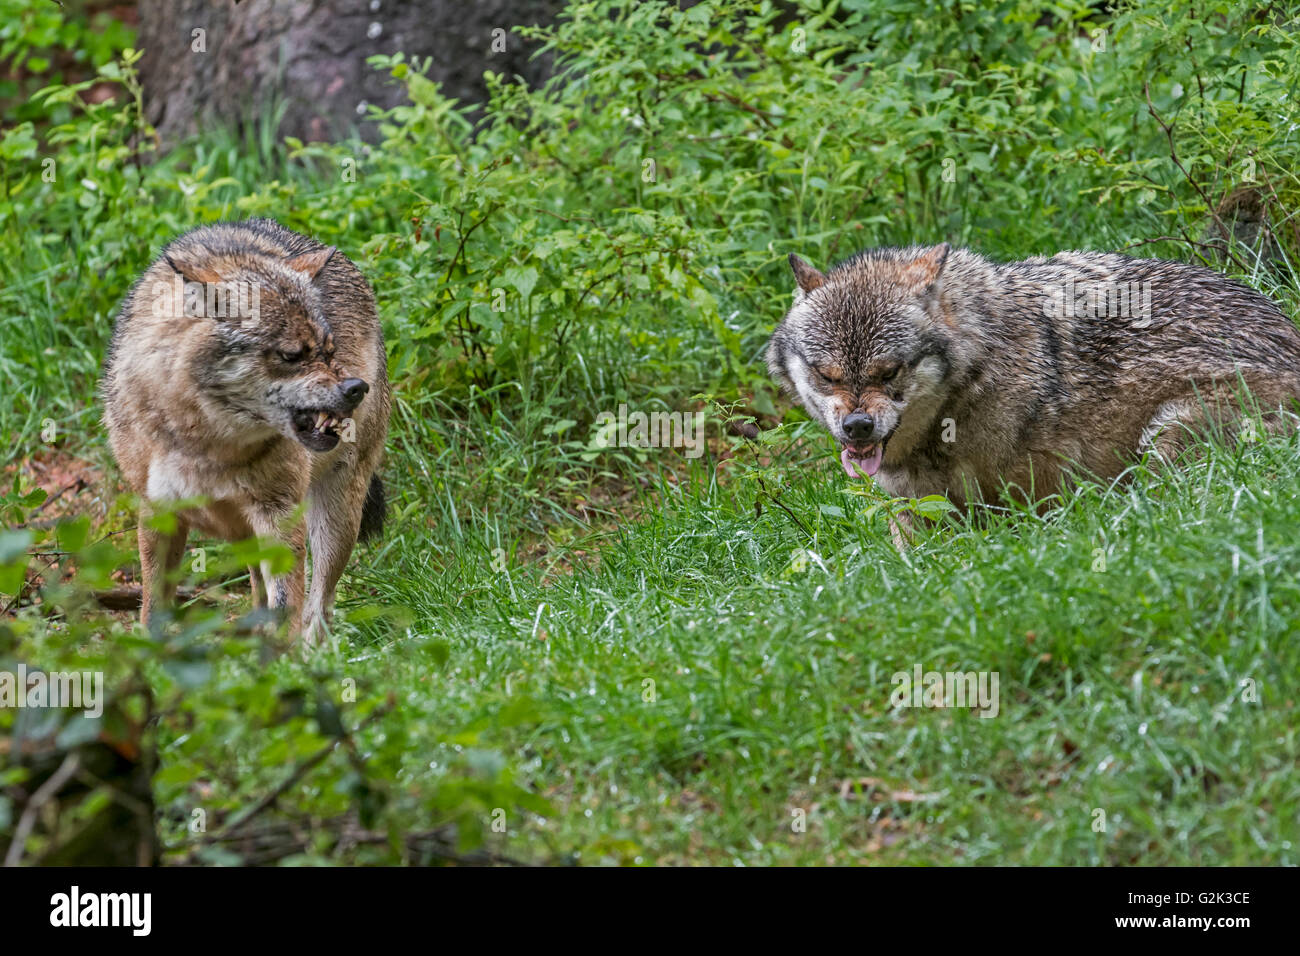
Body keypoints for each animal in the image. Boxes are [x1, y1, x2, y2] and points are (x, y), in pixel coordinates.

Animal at [102, 218, 391, 644]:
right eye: (291, 355)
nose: (356, 389)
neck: (209, 448)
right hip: (247, 535)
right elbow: (154, 606)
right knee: (261, 594)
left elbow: (287, 607)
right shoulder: (158, 512)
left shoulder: (280, 516)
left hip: (336, 517)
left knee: (319, 604)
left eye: (329, 350)